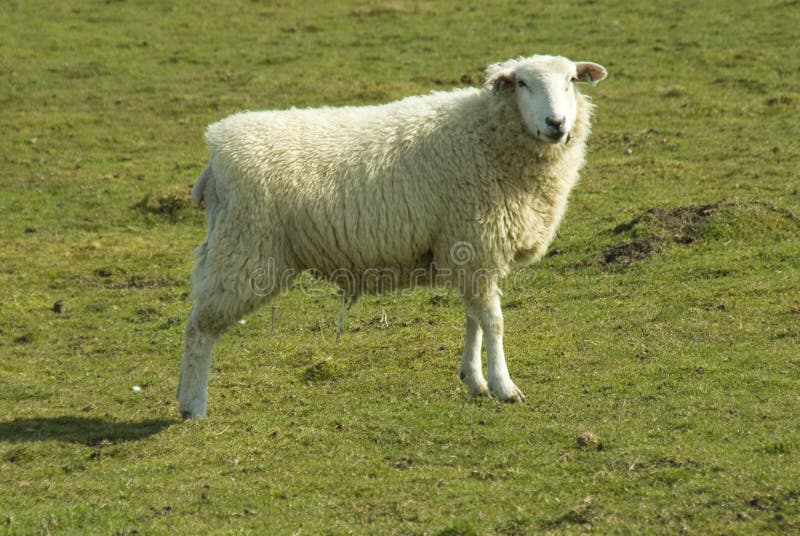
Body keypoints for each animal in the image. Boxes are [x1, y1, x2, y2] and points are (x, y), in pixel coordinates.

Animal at [177, 54, 607, 419]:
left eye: (571, 80)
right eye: (521, 83)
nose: (556, 123)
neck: (485, 134)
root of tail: (216, 151)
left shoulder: (463, 249)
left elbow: (473, 318)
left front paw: (474, 379)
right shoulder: (476, 242)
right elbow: (494, 321)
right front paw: (504, 386)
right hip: (245, 248)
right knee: (200, 327)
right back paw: (192, 405)